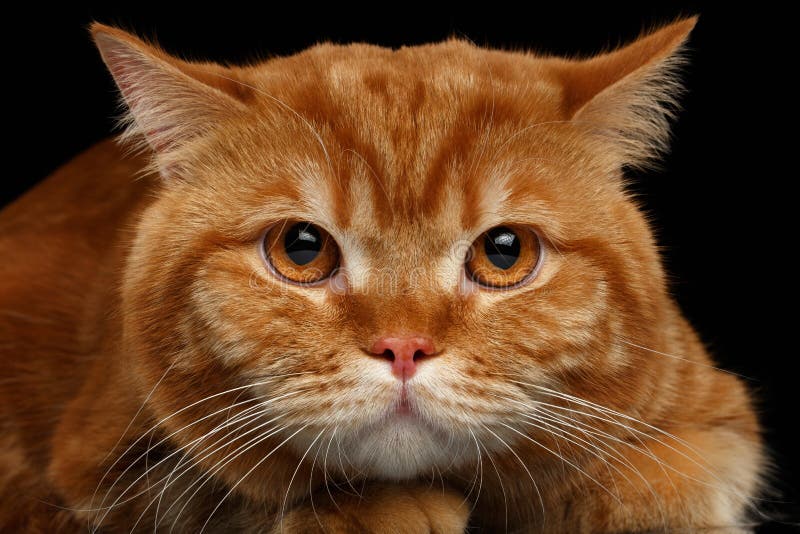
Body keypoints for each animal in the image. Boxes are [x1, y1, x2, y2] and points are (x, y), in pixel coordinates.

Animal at [0, 17, 768, 534]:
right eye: (302, 249)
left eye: (505, 252)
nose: (403, 346)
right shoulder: (92, 471)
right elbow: (217, 498)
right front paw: (387, 509)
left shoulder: (717, 420)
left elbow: (670, 477)